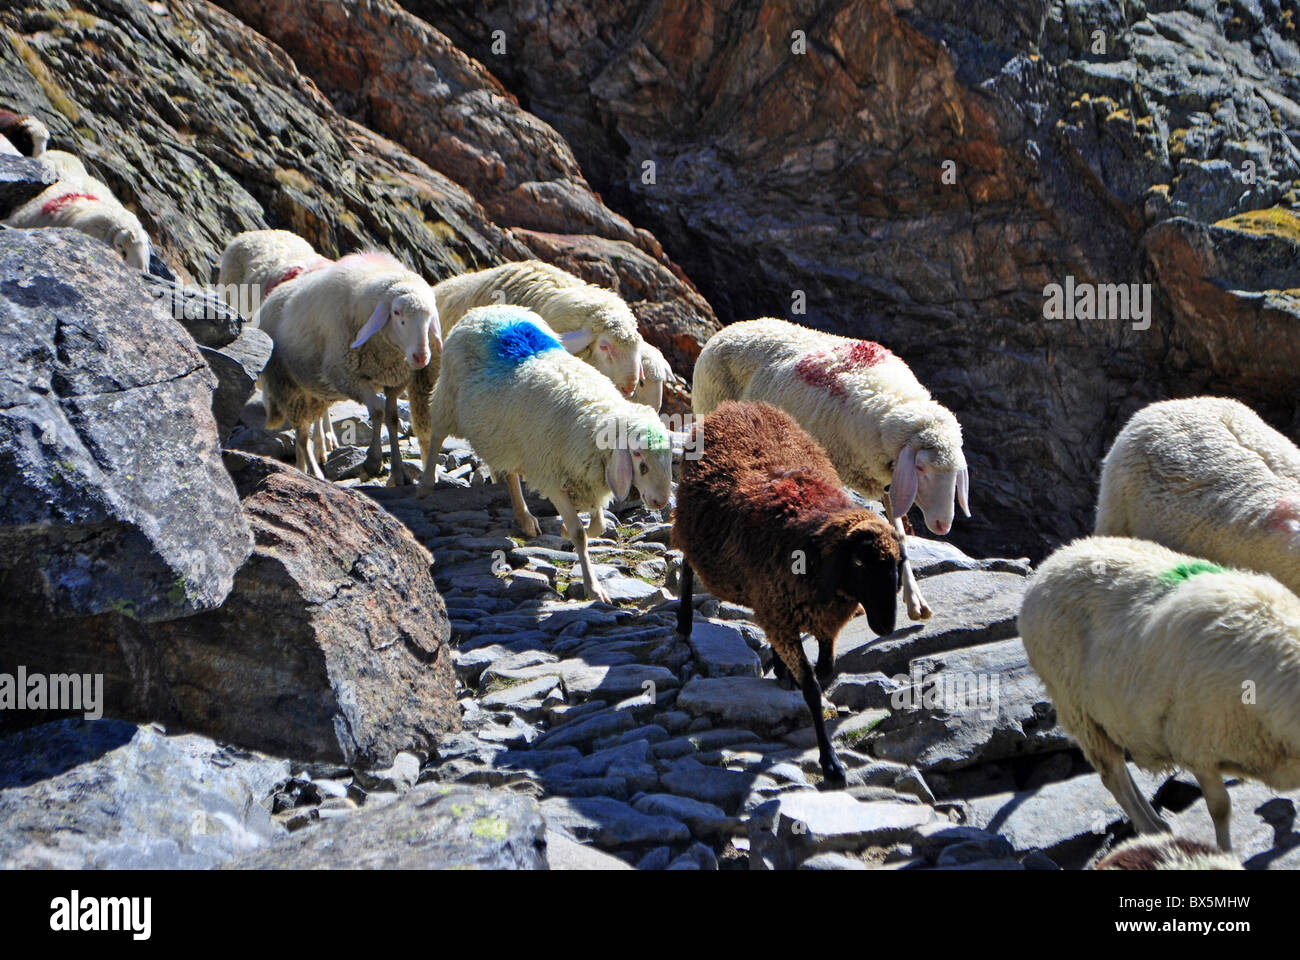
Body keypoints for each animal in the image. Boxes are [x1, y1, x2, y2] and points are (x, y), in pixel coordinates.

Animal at [255, 251, 440, 484]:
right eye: (397, 312)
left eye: (429, 316)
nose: (420, 357)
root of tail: (271, 296)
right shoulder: (350, 377)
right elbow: (377, 412)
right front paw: (373, 461)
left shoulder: (394, 382)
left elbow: (392, 419)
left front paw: (399, 472)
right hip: (287, 385)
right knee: (303, 434)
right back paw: (315, 473)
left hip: (312, 391)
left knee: (302, 432)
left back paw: (300, 468)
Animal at [415, 305, 673, 605]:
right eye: (639, 455)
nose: (659, 502)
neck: (595, 411)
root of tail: (488, 309)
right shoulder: (553, 477)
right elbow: (579, 534)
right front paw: (592, 587)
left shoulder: (587, 473)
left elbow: (598, 524)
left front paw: (566, 531)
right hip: (448, 396)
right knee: (436, 435)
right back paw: (425, 484)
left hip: (506, 435)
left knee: (510, 472)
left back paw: (524, 517)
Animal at [672, 400, 904, 784]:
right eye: (859, 562)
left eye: (898, 565)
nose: (886, 626)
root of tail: (738, 405)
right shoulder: (785, 613)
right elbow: (812, 686)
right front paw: (830, 763)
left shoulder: (819, 618)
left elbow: (825, 670)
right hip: (691, 530)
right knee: (688, 566)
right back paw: (684, 623)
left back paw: (780, 668)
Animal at [692, 317, 969, 622]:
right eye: (920, 468)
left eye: (956, 471)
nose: (943, 525)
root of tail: (736, 326)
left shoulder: (887, 478)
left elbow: (899, 535)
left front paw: (915, 601)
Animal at [1018, 535, 1300, 852]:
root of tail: (1056, 558)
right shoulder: (1195, 748)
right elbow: (1220, 809)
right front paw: (1226, 853)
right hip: (1079, 711)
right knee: (1113, 775)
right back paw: (1151, 828)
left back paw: (1159, 824)